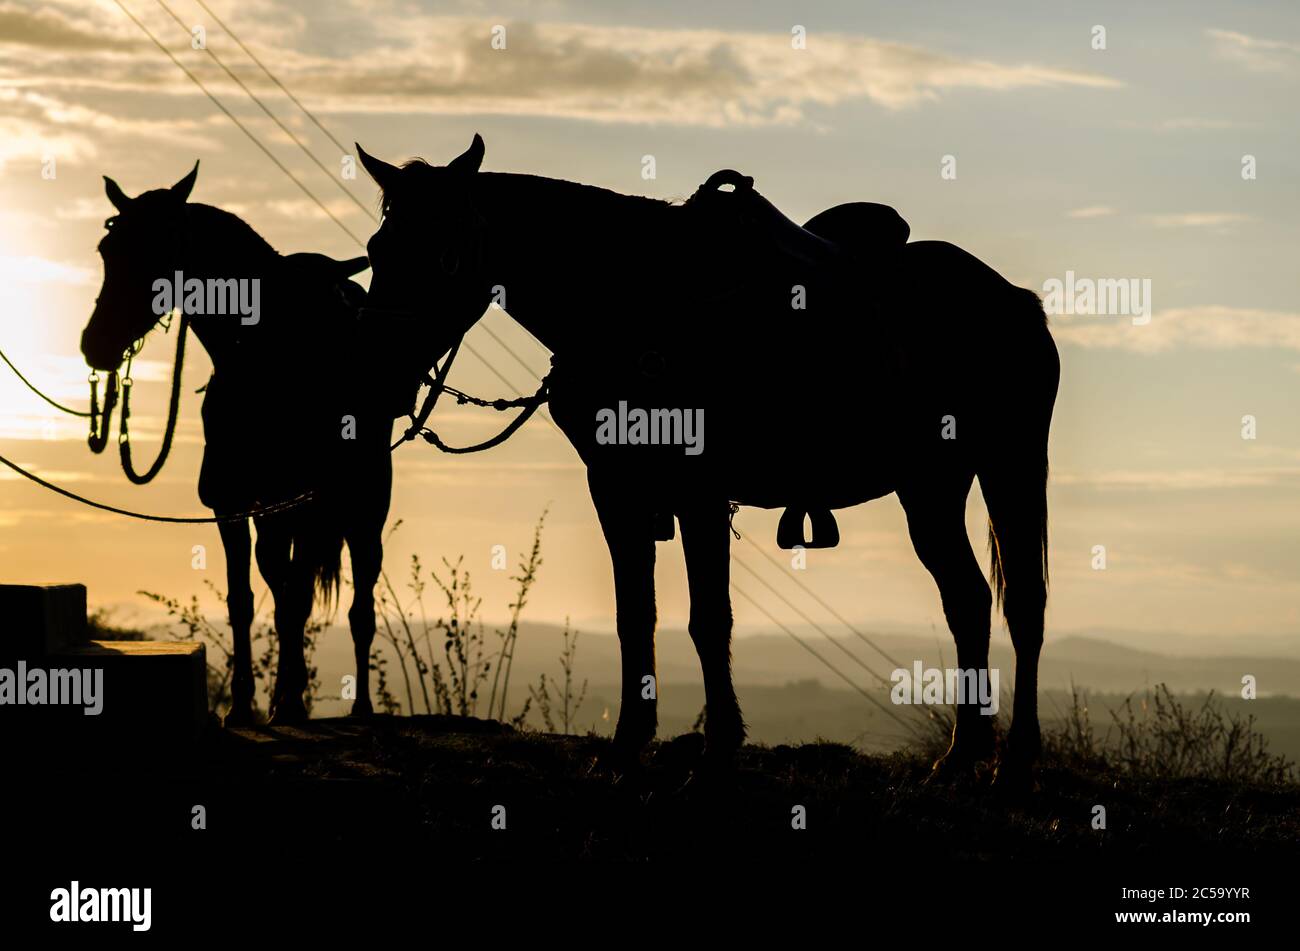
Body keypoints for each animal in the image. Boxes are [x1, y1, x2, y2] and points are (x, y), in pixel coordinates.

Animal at [80, 162, 398, 725]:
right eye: (107, 251)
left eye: (155, 249)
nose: (95, 346)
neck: (262, 356)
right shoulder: (230, 506)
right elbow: (244, 600)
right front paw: (245, 706)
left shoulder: (296, 505)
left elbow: (298, 599)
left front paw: (287, 702)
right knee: (281, 581)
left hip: (363, 507)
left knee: (358, 601)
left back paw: (359, 707)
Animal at [355, 135, 1060, 787]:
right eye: (376, 250)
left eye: (444, 253)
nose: (382, 374)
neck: (635, 304)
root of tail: (1015, 301)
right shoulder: (614, 486)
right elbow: (634, 615)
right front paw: (626, 747)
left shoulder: (699, 493)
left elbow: (708, 620)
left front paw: (718, 749)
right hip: (930, 486)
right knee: (968, 600)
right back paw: (961, 756)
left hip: (1011, 466)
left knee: (1022, 604)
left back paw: (1015, 762)